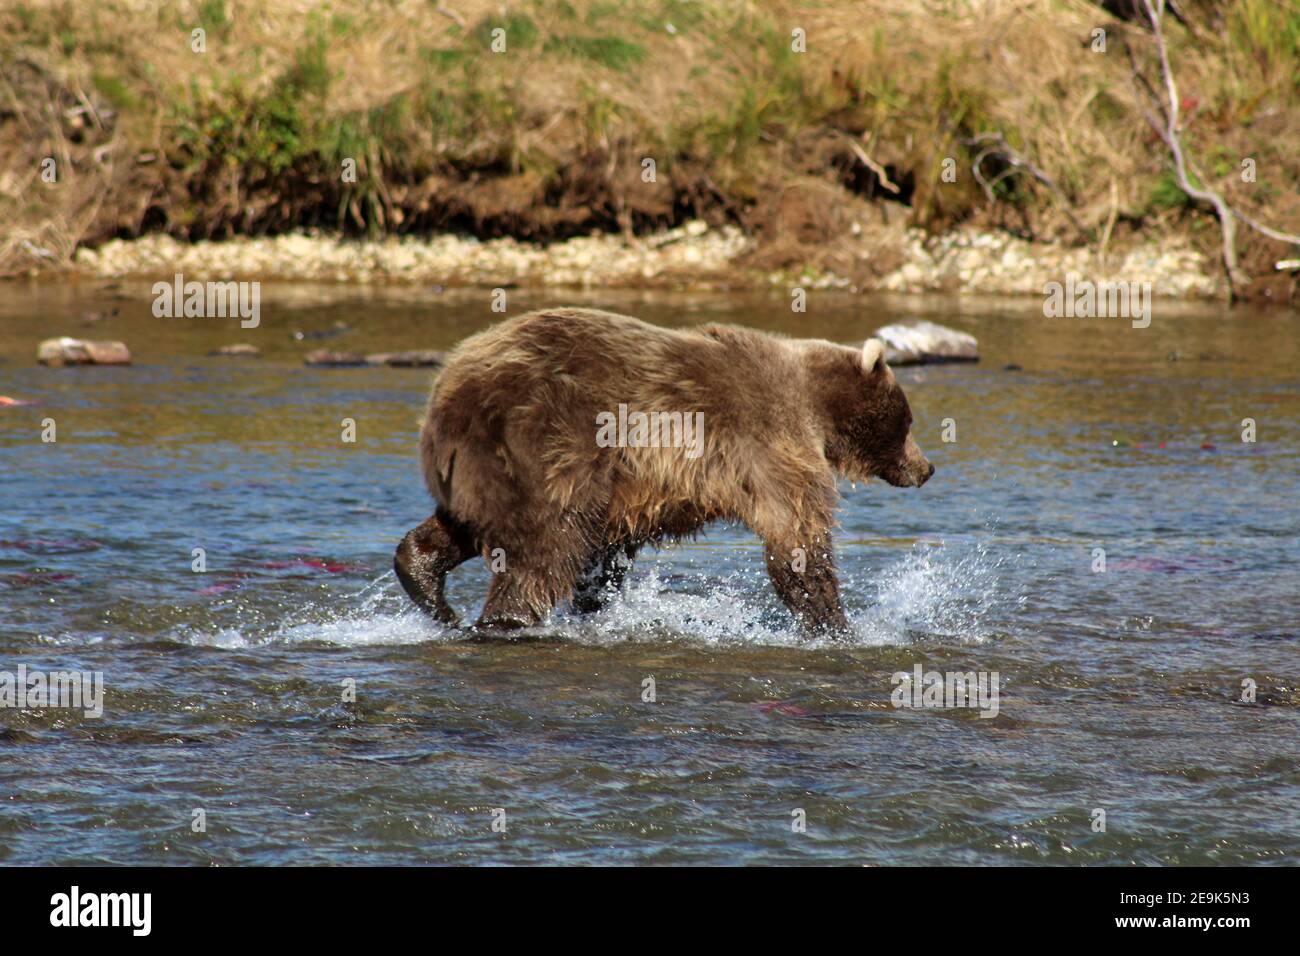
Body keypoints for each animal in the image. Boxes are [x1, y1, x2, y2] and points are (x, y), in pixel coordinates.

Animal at [394, 307, 934, 637]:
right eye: (907, 421)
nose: (926, 467)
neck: (817, 411)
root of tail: (451, 398)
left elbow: (608, 553)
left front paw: (598, 603)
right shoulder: (772, 443)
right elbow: (797, 537)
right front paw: (835, 623)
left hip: (476, 473)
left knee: (465, 526)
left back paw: (426, 584)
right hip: (551, 445)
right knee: (548, 542)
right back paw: (505, 620)